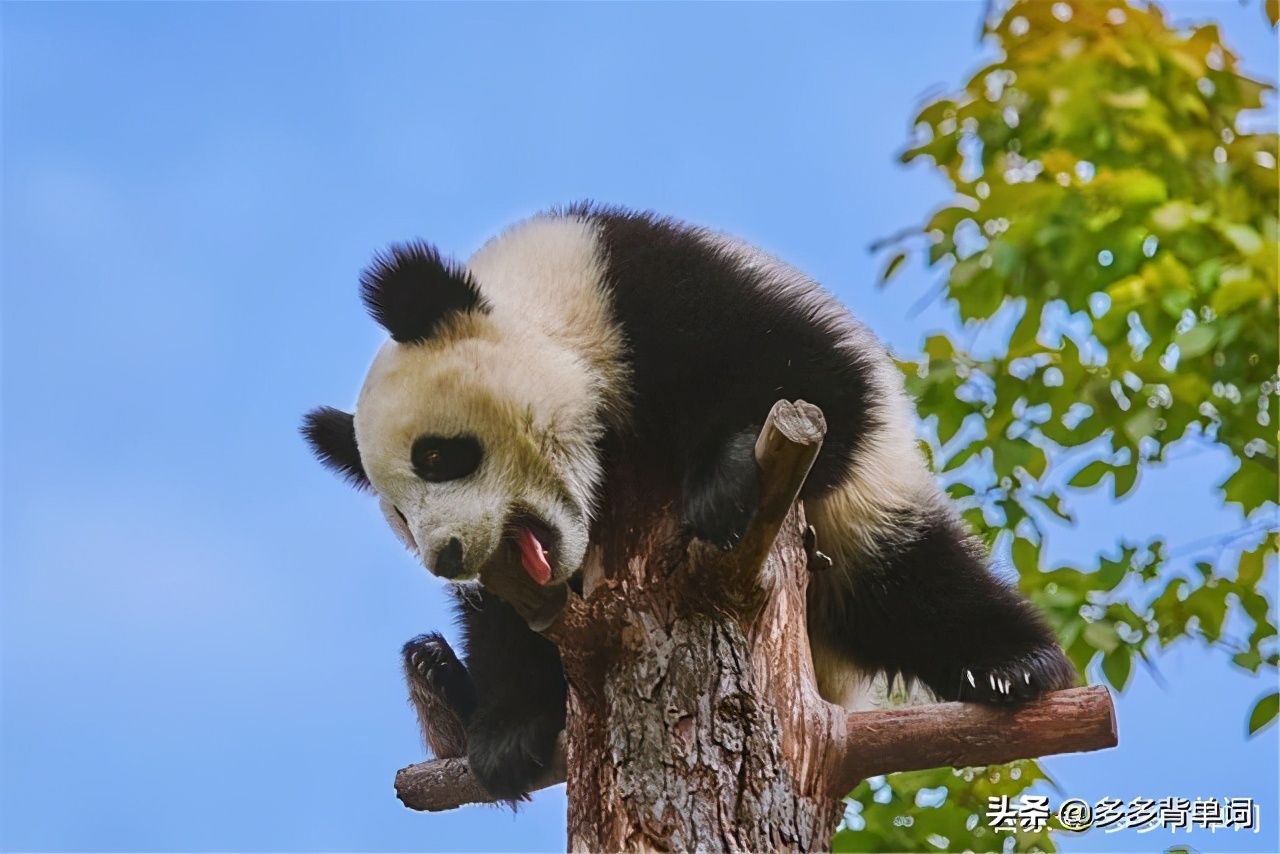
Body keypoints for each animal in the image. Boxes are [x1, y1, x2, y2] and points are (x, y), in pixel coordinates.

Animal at [302, 203, 1076, 801]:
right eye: (401, 516)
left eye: (437, 455)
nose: (447, 555)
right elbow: (503, 616)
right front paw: (507, 733)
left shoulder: (644, 289)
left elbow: (821, 381)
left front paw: (721, 484)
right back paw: (437, 678)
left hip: (864, 520)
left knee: (913, 581)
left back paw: (1013, 666)